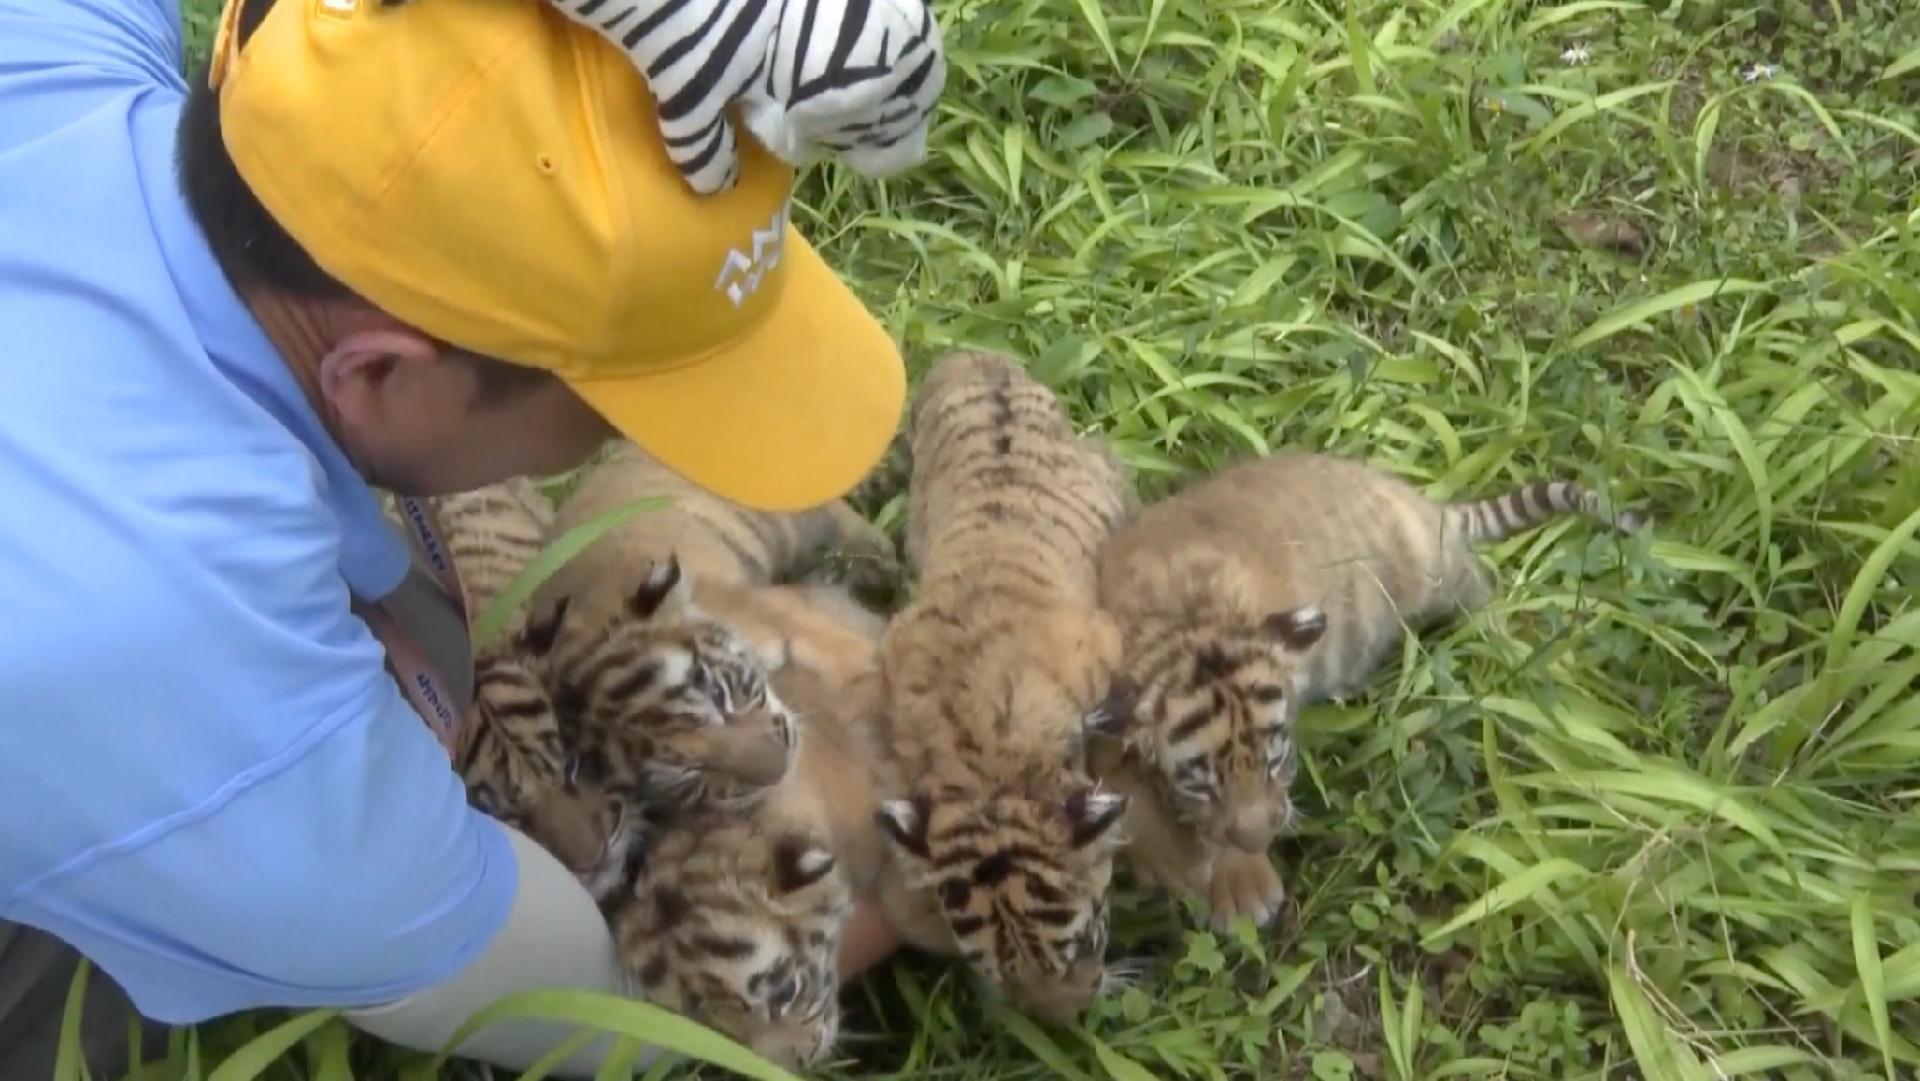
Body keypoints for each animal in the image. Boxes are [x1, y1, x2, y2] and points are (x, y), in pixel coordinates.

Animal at [376, 0, 946, 197]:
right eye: (888, 128)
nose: (921, 158)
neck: (774, 23)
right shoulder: (688, 92)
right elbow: (705, 162)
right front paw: (730, 177)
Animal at [1090, 450, 1651, 930]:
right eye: (1202, 783)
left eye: (1276, 761)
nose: (1262, 835)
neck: (1186, 624)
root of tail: (1424, 503)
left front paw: (1240, 884)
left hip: (1435, 575)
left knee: (1480, 585)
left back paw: (1506, 643)